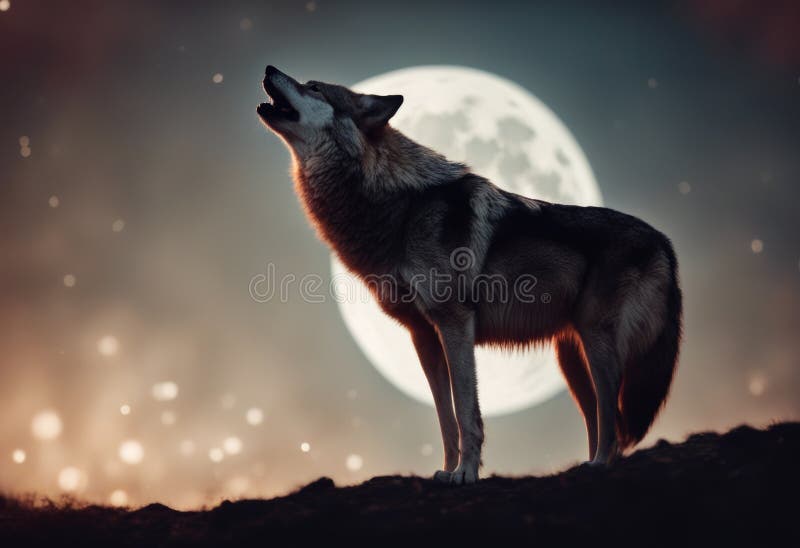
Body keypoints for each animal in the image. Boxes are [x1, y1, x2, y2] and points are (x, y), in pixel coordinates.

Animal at [257, 65, 682, 484]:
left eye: (313, 86)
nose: (269, 68)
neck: (400, 205)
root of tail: (664, 242)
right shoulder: (423, 336)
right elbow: (445, 417)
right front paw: (447, 470)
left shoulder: (455, 323)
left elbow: (466, 411)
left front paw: (465, 473)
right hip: (572, 358)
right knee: (598, 417)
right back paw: (586, 465)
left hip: (597, 343)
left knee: (613, 417)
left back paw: (599, 466)